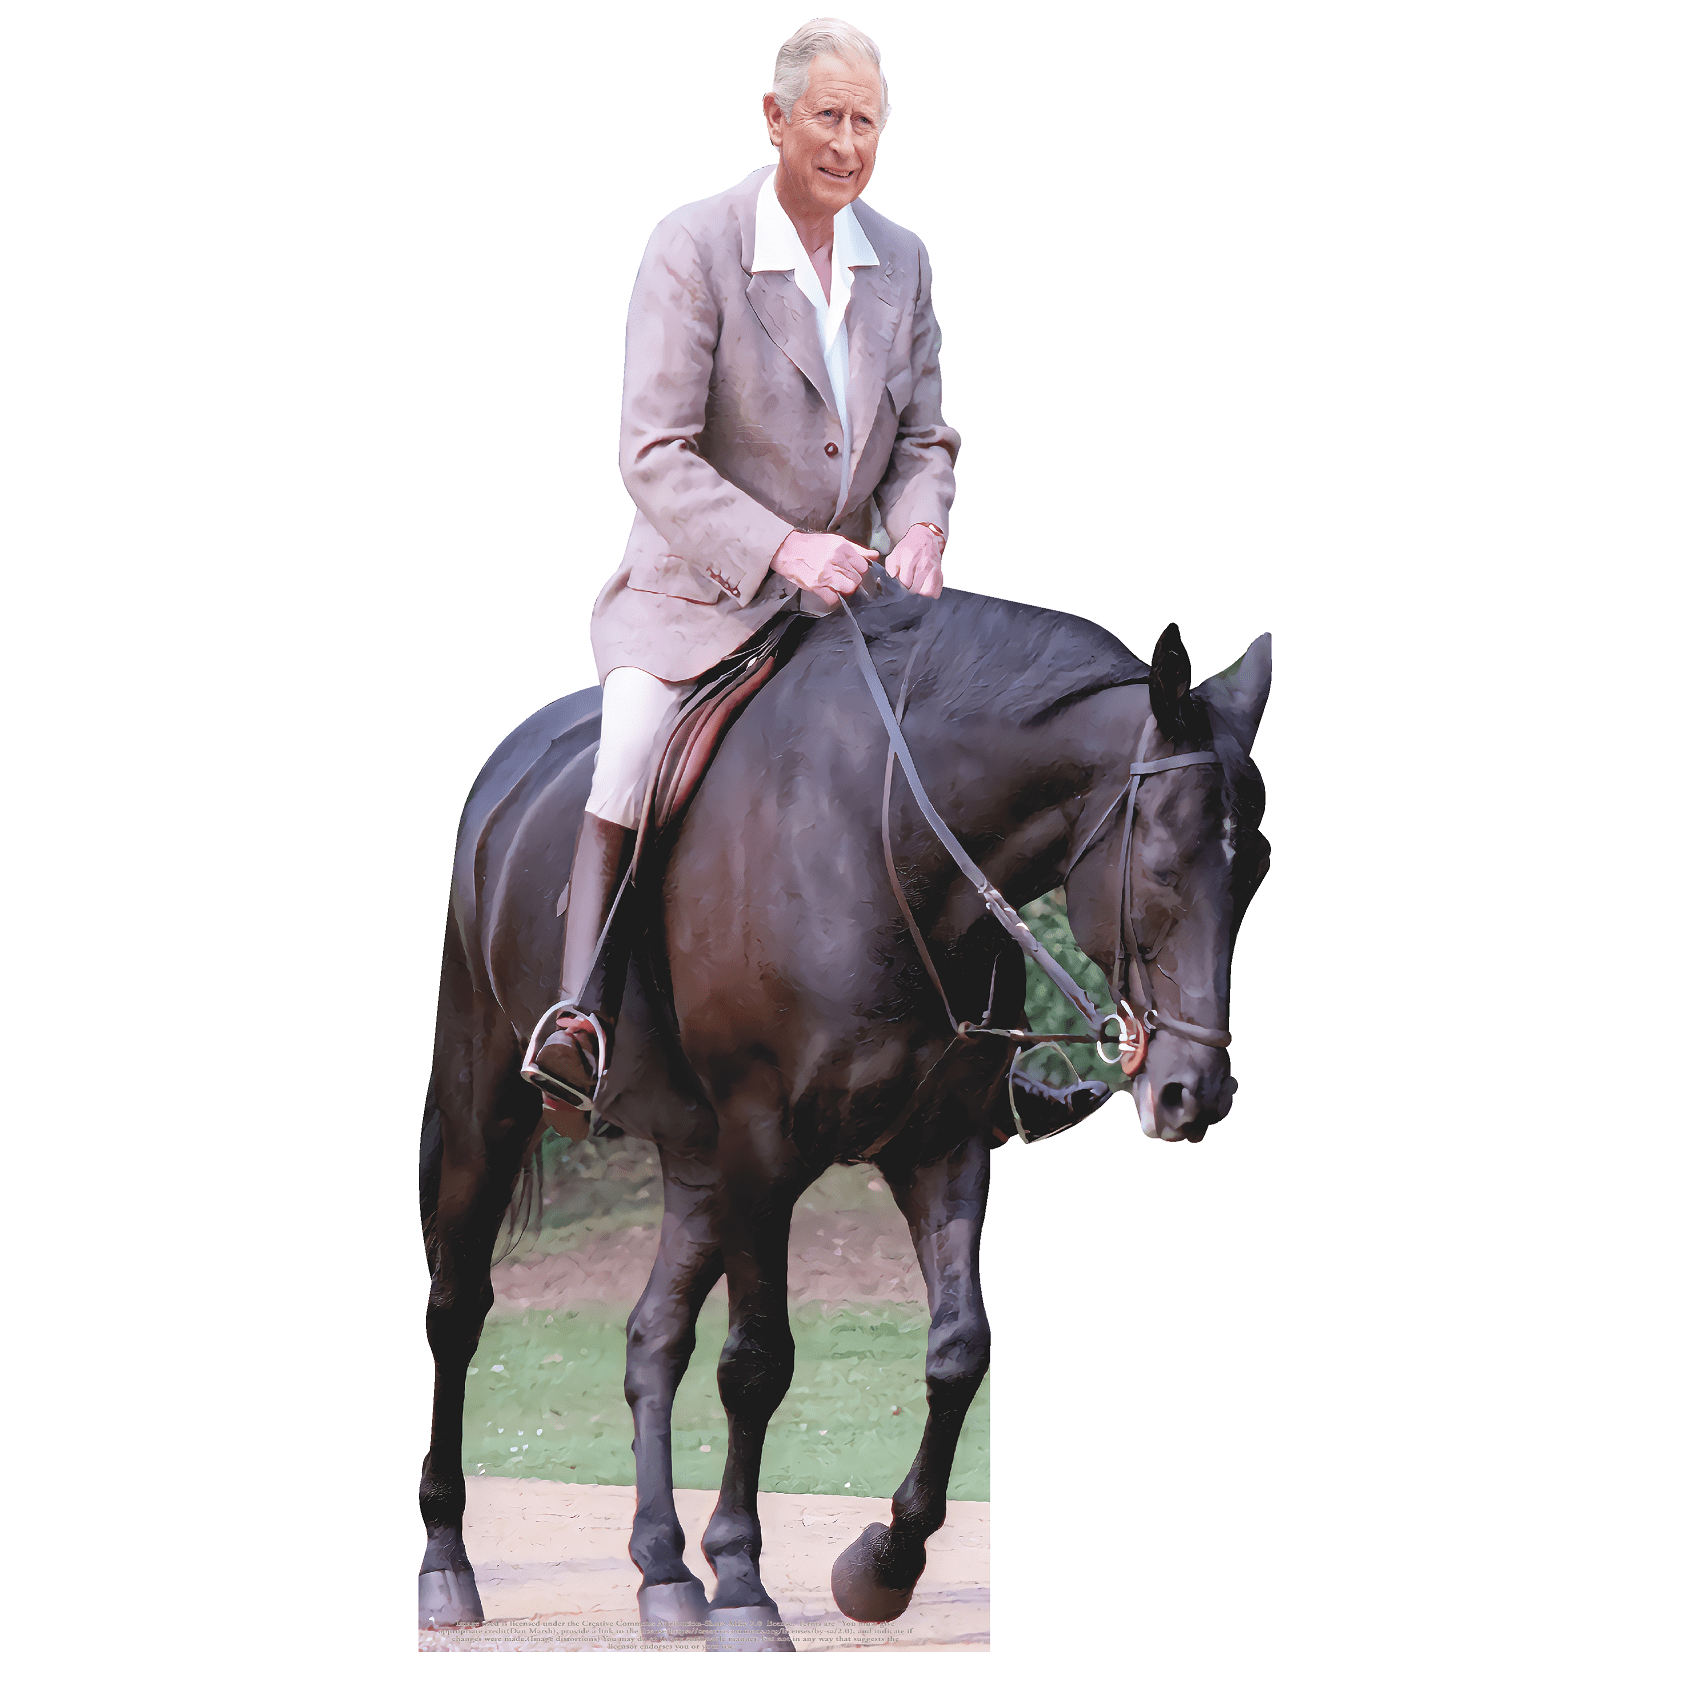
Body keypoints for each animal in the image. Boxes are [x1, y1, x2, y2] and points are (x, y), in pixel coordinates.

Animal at [418, 579, 1271, 1647]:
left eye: (1258, 867)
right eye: (1161, 863)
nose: (1194, 1092)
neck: (890, 841)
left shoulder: (943, 1145)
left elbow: (959, 1348)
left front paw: (881, 1565)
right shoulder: (762, 1145)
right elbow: (757, 1362)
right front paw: (745, 1583)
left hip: (695, 1160)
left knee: (653, 1340)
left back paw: (664, 1573)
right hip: (487, 1105)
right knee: (457, 1312)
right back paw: (448, 1563)